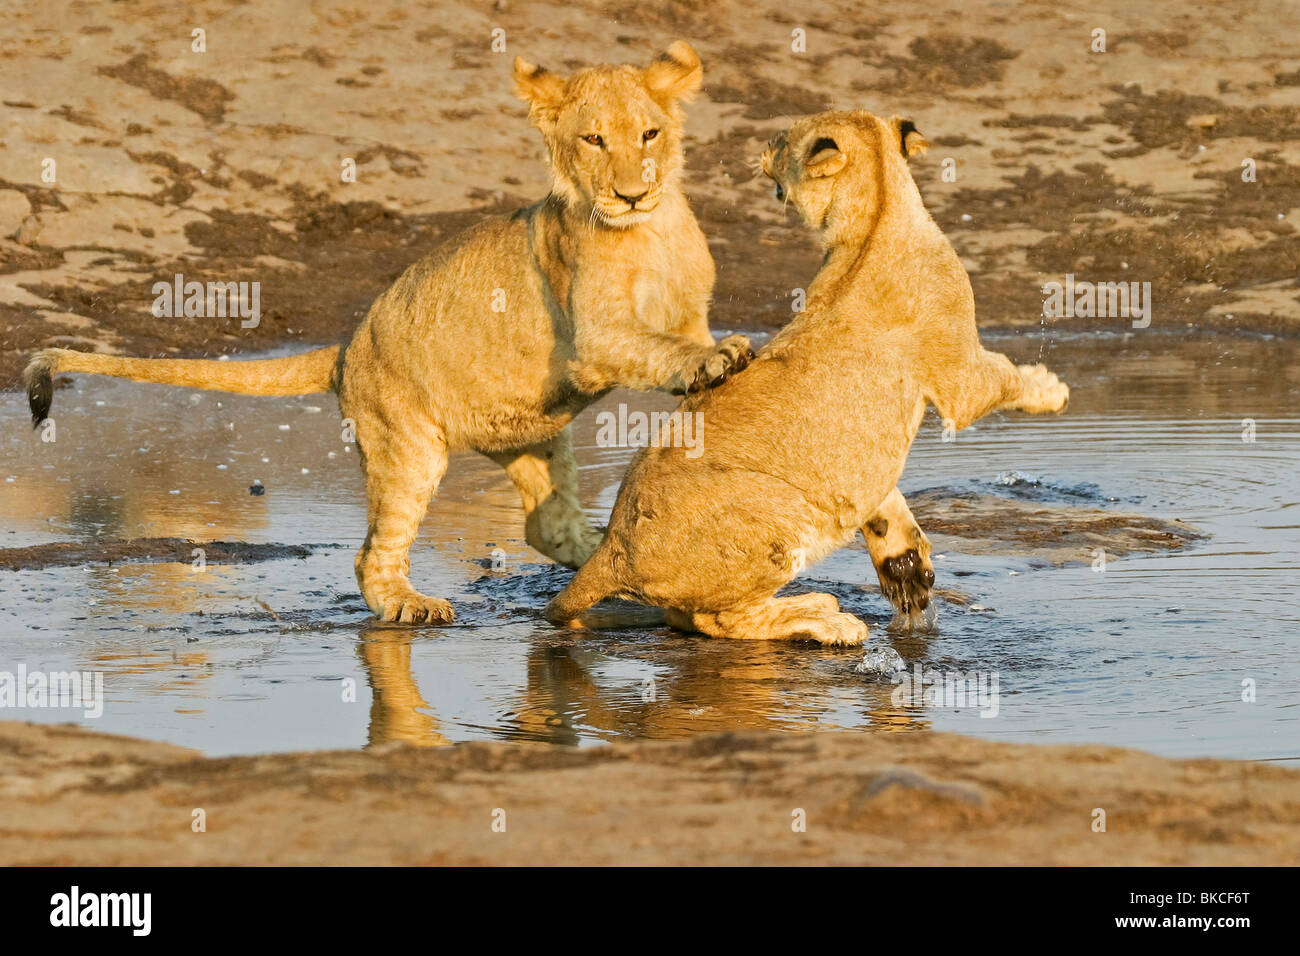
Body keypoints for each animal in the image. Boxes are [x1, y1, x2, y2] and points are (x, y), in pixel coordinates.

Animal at [24, 42, 756, 624]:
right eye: (594, 140)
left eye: (650, 134)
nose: (632, 193)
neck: (649, 232)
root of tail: (347, 347)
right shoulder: (594, 338)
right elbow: (655, 347)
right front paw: (713, 359)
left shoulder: (684, 310)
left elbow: (679, 334)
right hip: (408, 447)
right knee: (373, 554)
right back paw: (410, 605)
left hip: (533, 433)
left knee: (544, 524)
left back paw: (609, 560)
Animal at [545, 108, 1071, 644]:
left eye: (785, 139)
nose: (765, 142)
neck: (876, 213)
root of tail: (610, 551)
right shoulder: (960, 379)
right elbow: (1005, 379)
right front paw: (1051, 390)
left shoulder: (868, 464)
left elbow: (884, 508)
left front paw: (908, 571)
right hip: (777, 515)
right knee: (721, 620)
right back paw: (827, 617)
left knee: (687, 617)